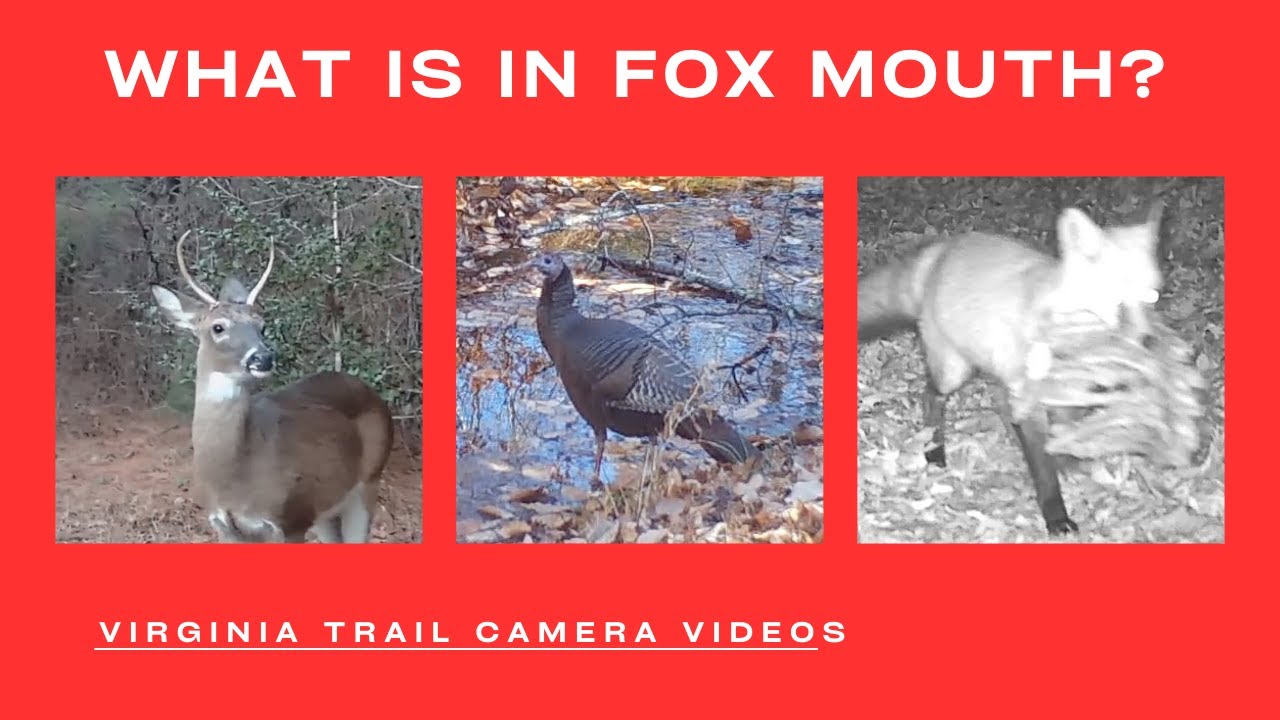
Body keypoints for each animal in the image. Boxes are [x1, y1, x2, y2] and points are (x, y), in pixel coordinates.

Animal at [857, 202, 1165, 534]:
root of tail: (945, 248)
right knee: (930, 396)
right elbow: (1044, 471)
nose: (1147, 341)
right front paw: (1056, 516)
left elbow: (1063, 436)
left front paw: (1070, 465)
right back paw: (934, 450)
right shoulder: (1032, 404)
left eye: (1152, 297)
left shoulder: (1067, 398)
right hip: (955, 371)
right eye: (1116, 300)